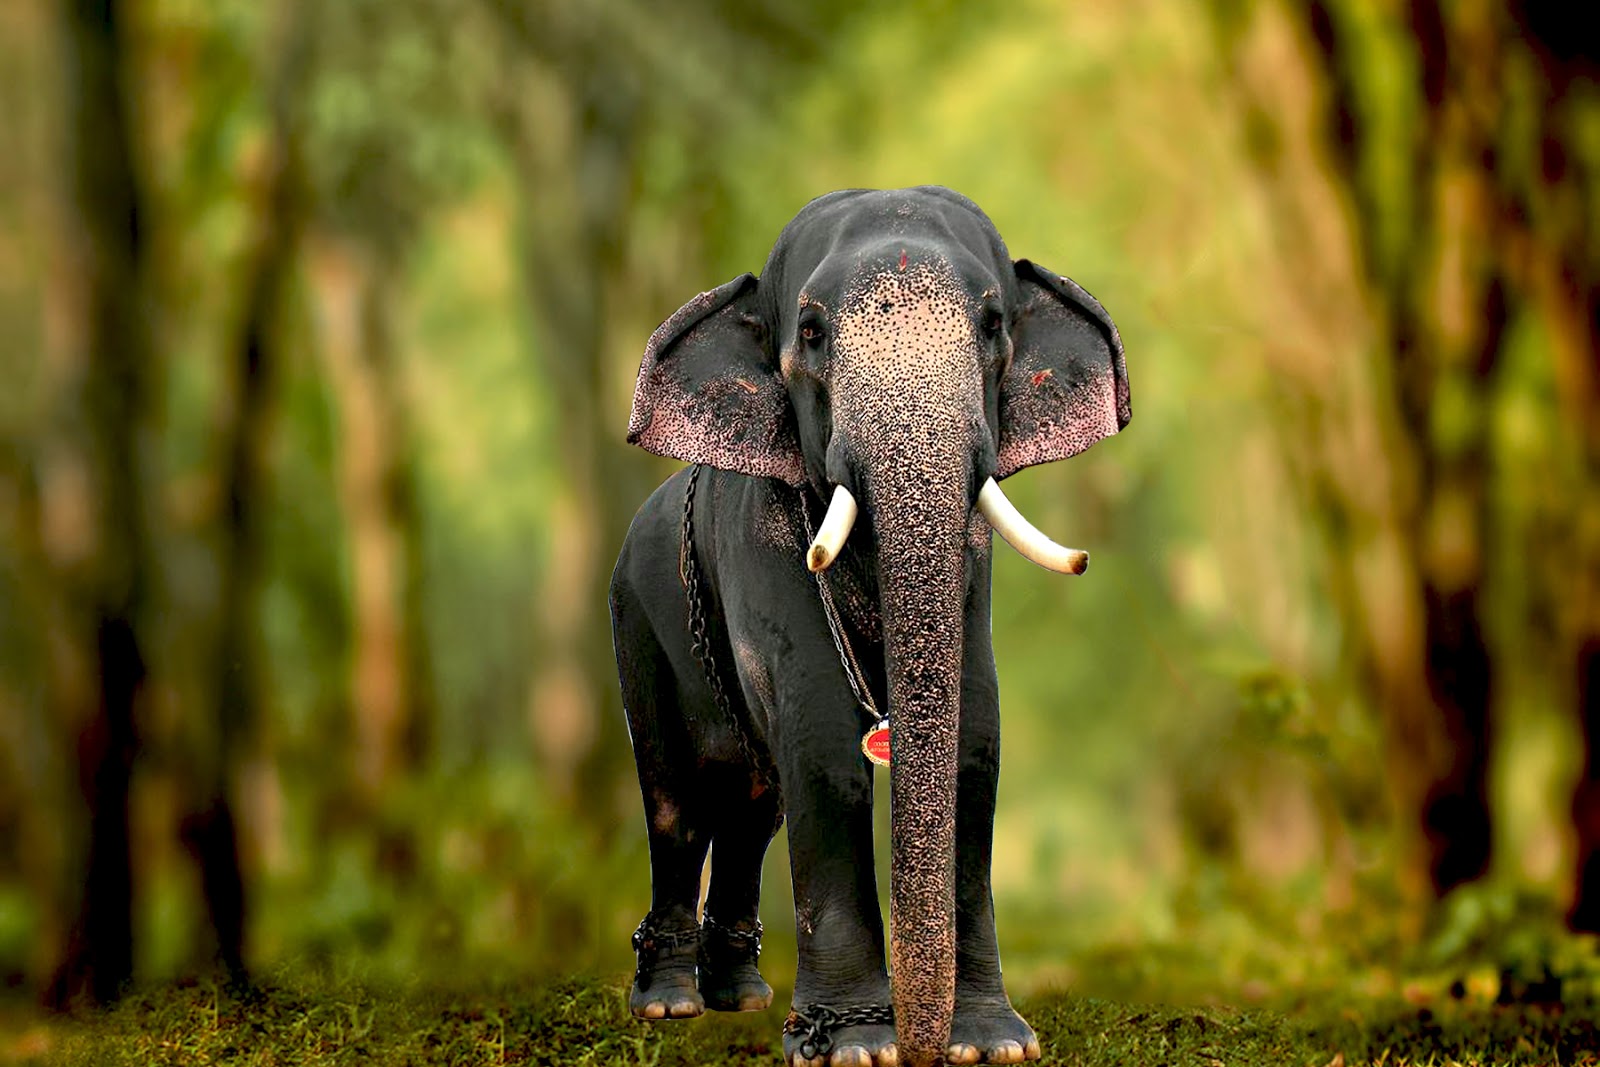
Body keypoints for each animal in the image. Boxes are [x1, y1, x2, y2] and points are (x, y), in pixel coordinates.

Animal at [610, 186, 1130, 1067]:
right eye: (813, 334)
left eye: (993, 323)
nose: (927, 1045)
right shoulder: (765, 544)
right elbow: (821, 735)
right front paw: (857, 1046)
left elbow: (975, 731)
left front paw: (991, 1042)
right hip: (635, 624)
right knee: (676, 800)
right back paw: (671, 1004)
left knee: (752, 807)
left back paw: (742, 996)